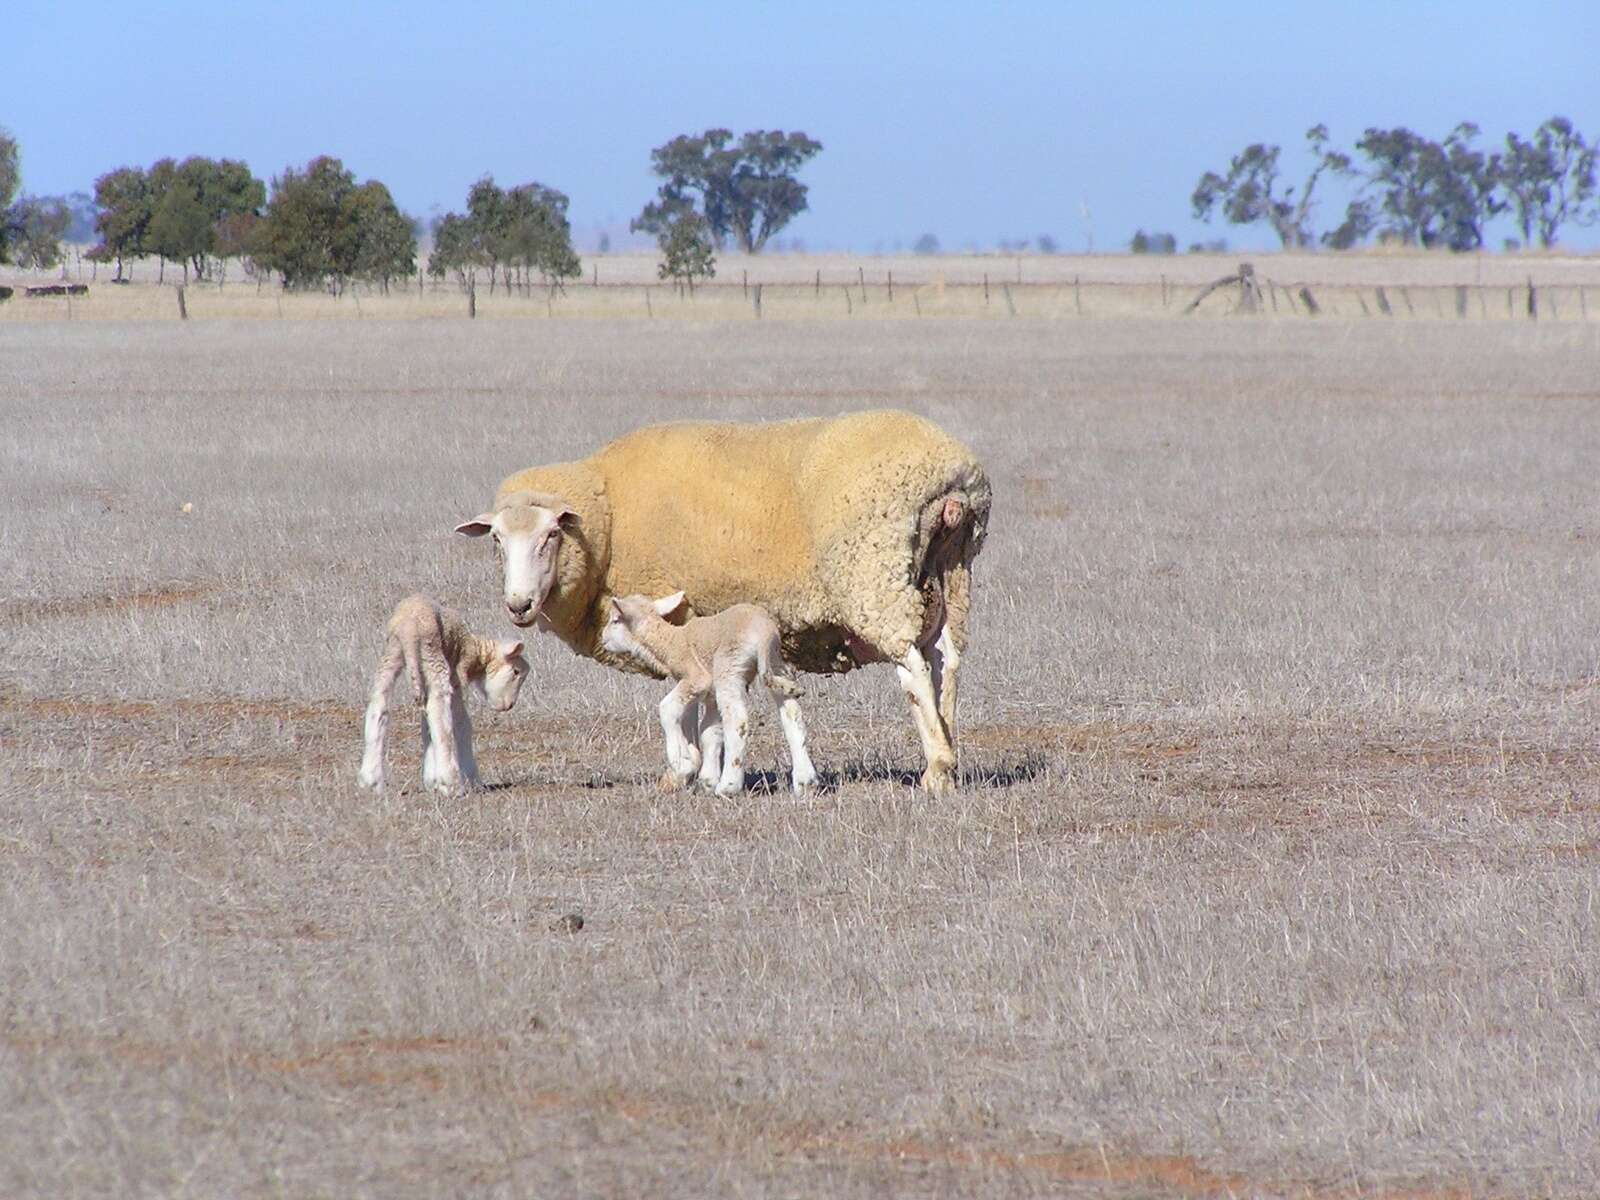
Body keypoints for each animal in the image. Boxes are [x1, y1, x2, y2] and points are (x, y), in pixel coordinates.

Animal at [356, 594, 529, 794]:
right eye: (516, 672)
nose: (509, 706)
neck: (474, 651)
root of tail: (409, 628)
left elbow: (426, 726)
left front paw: (431, 779)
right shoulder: (458, 676)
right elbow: (462, 723)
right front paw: (471, 780)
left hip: (392, 654)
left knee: (379, 705)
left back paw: (370, 782)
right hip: (432, 655)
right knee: (439, 713)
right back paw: (451, 782)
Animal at [601, 590, 819, 796]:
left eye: (615, 620)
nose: (602, 639)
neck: (671, 642)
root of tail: (763, 629)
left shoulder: (697, 679)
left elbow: (667, 708)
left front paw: (683, 762)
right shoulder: (711, 696)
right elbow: (709, 732)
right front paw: (707, 780)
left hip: (729, 666)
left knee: (737, 721)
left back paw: (728, 786)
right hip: (775, 663)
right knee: (792, 714)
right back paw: (806, 782)